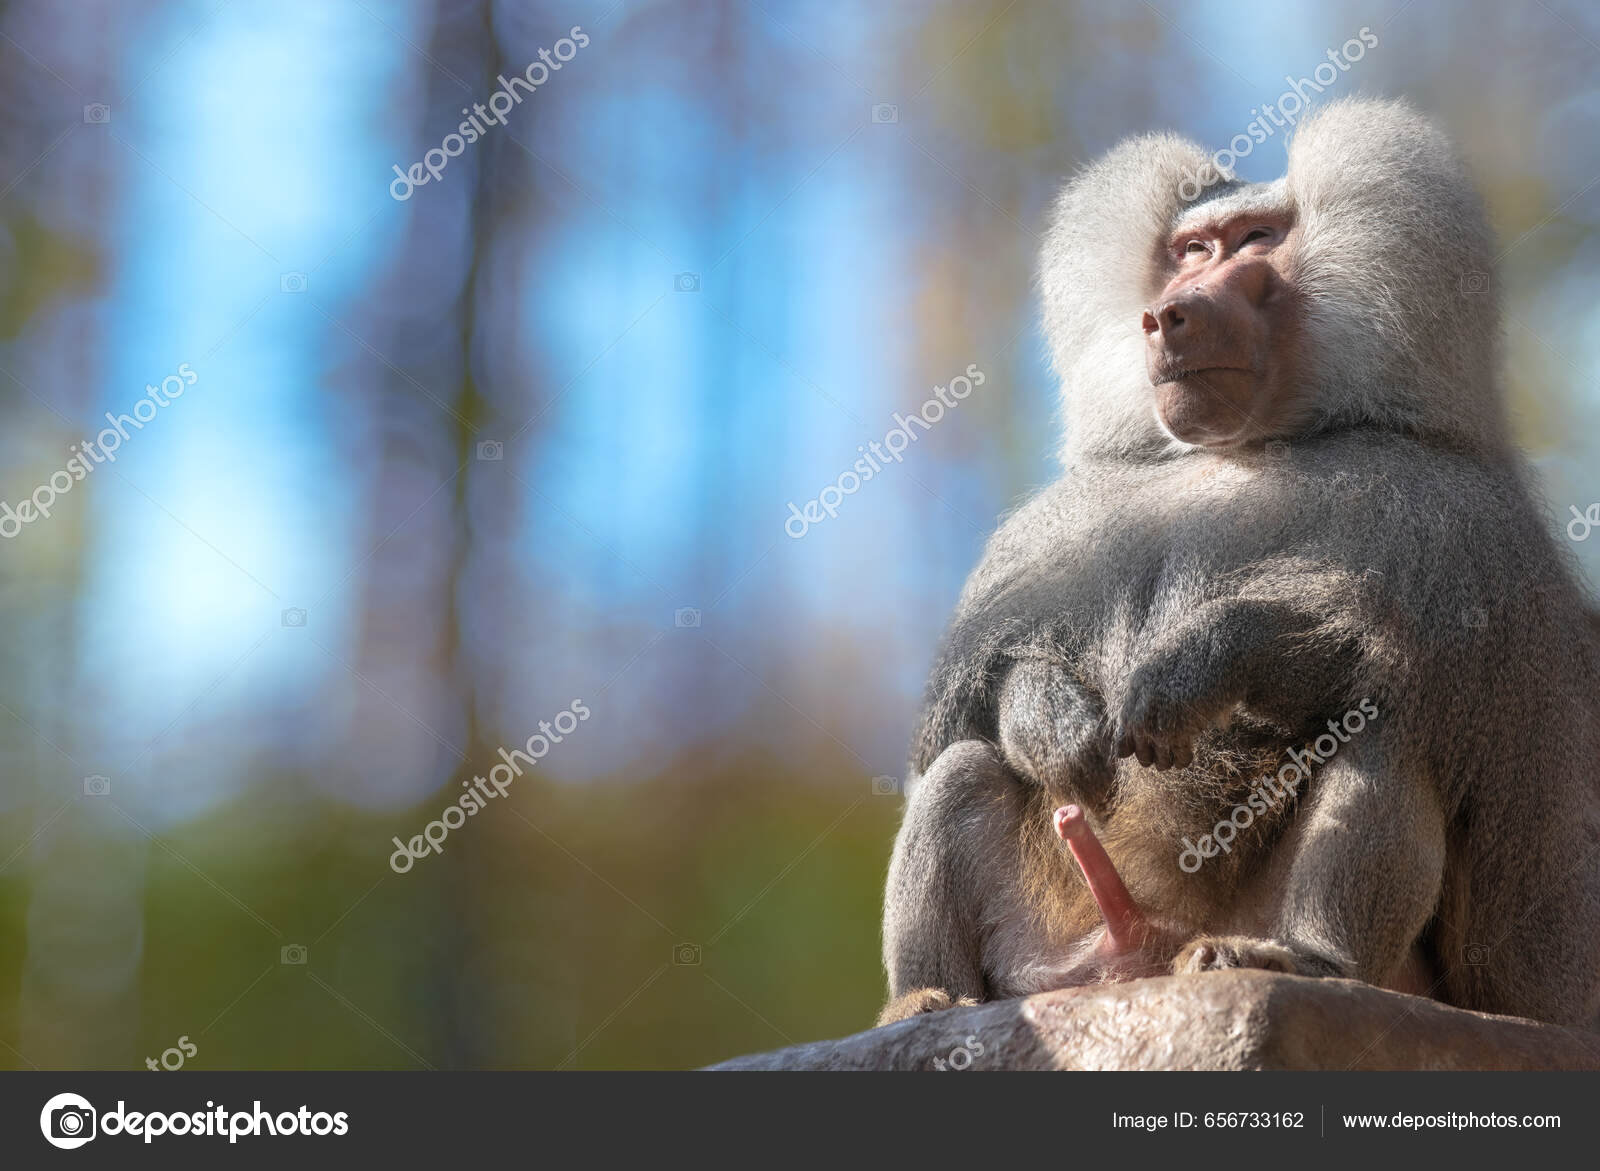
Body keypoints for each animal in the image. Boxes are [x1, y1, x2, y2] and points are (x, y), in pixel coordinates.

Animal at [878, 97, 1600, 1030]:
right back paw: (926, 997)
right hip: (1054, 949)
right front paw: (1050, 716)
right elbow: (966, 722)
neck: (1243, 446)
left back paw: (1301, 956)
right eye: (1192, 250)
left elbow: (1396, 656)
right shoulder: (1046, 538)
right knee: (963, 769)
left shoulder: (1454, 527)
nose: (1168, 314)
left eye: (1255, 240)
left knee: (1388, 714)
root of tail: (1146, 944)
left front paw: (1200, 662)